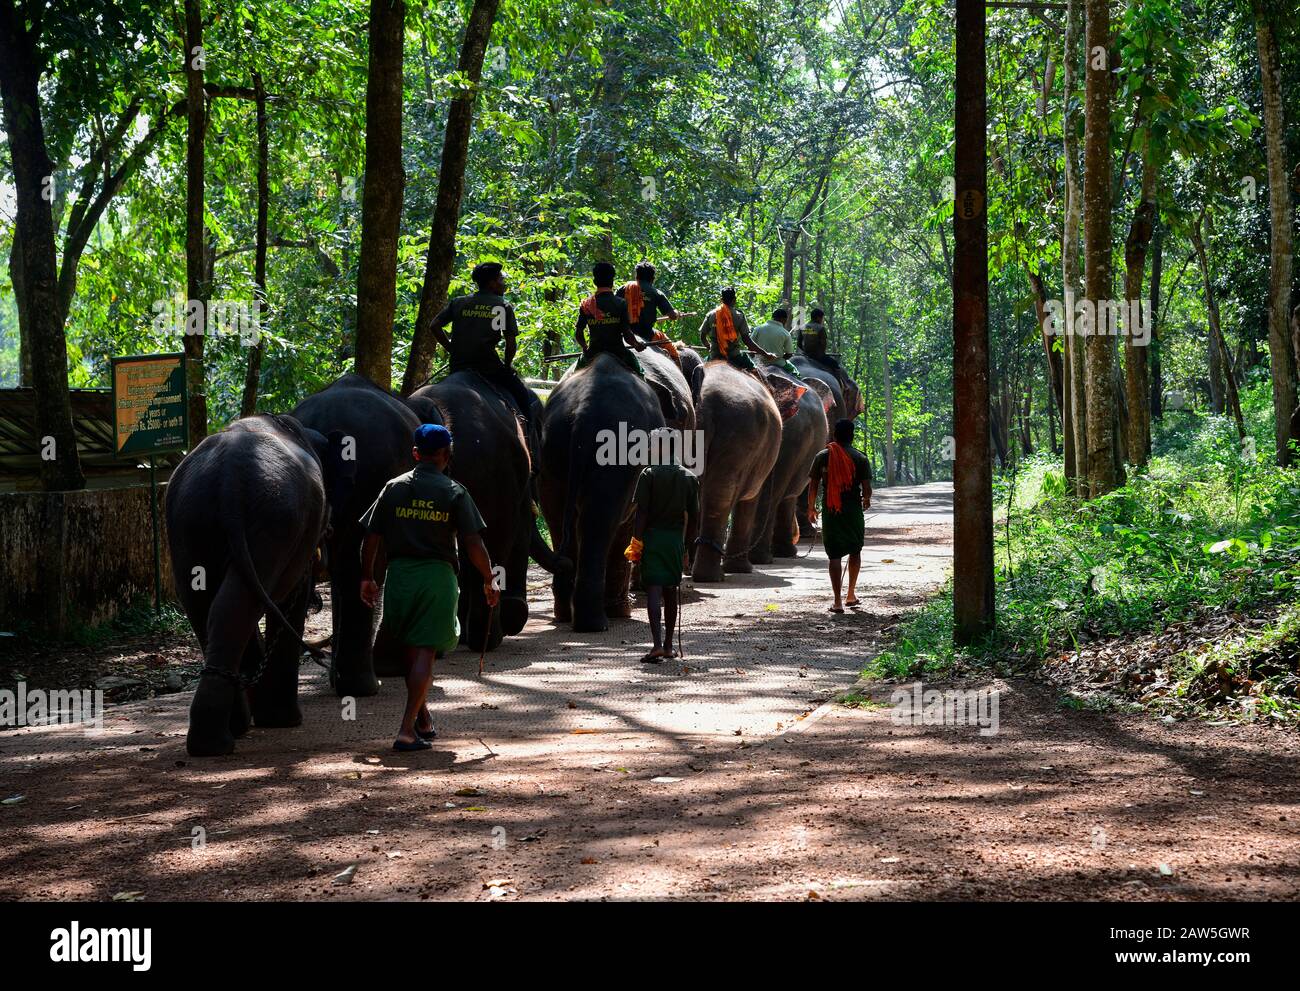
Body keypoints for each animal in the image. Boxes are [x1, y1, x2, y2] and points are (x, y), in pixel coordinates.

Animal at [166, 414, 354, 757]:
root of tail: (228, 479)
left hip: (189, 520)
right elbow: (292, 596)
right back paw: (226, 736)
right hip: (276, 517)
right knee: (237, 606)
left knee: (212, 606)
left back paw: (218, 737)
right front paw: (283, 721)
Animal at [538, 350, 681, 631]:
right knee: (600, 521)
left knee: (559, 520)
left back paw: (565, 614)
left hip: (550, 448)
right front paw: (621, 612)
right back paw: (597, 622)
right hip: (614, 452)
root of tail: (584, 411)